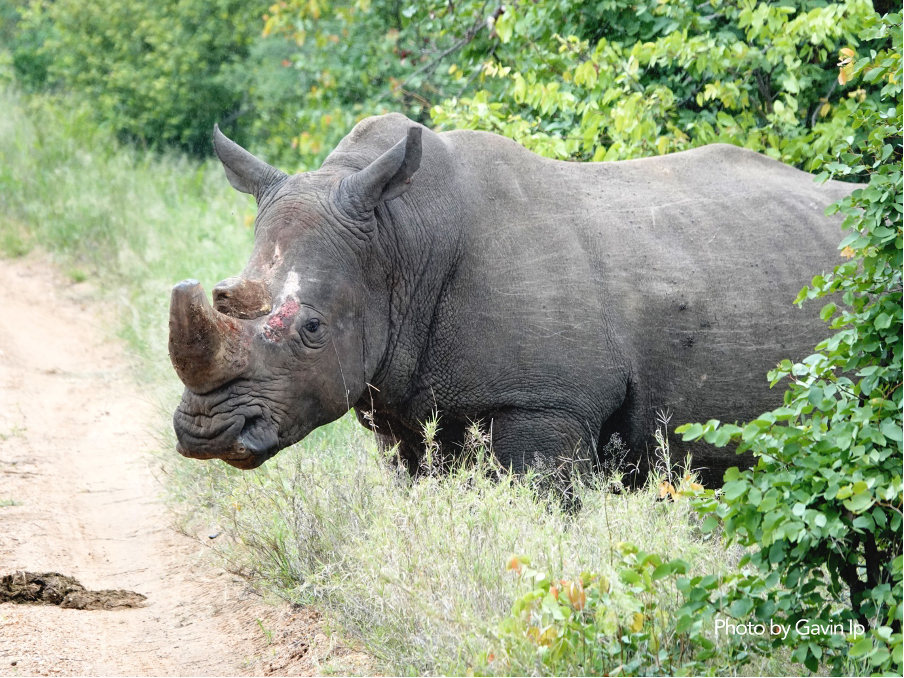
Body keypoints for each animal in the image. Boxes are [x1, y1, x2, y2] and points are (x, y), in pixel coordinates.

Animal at [169, 113, 851, 486]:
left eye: (311, 328)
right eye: (222, 298)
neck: (397, 242)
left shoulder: (546, 405)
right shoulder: (400, 407)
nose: (207, 432)